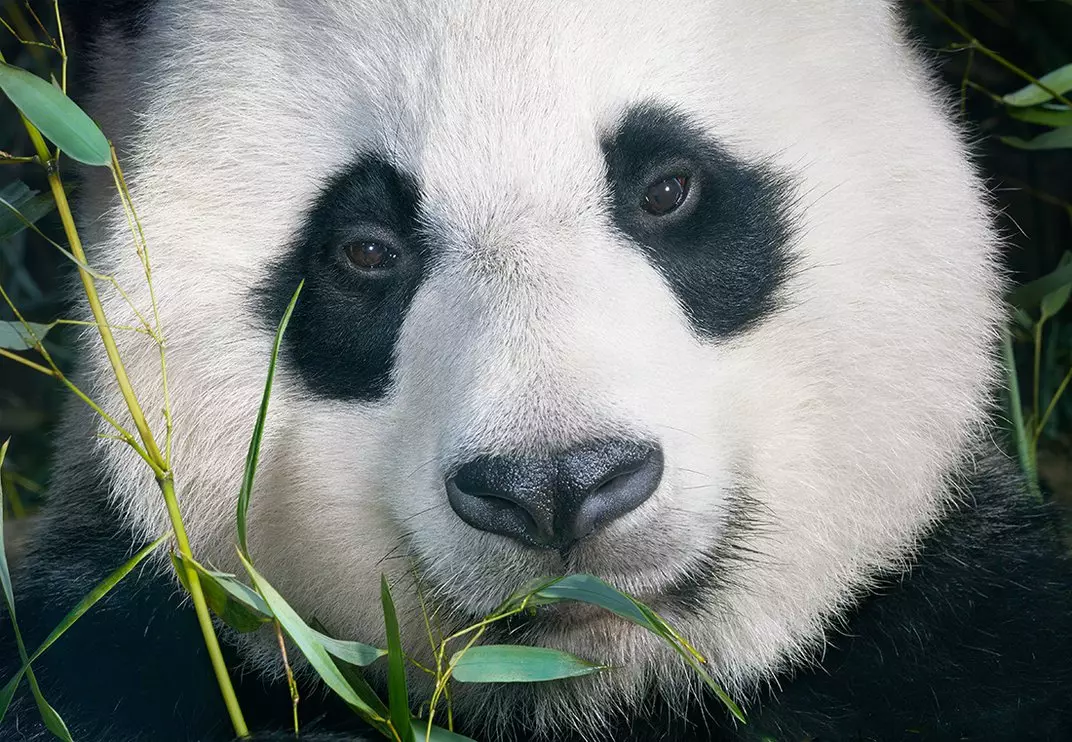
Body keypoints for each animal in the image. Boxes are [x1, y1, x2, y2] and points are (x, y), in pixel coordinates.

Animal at [2, 0, 1072, 737]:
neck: (593, 688)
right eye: (365, 249)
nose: (557, 485)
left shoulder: (962, 639)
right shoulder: (119, 651)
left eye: (668, 189)